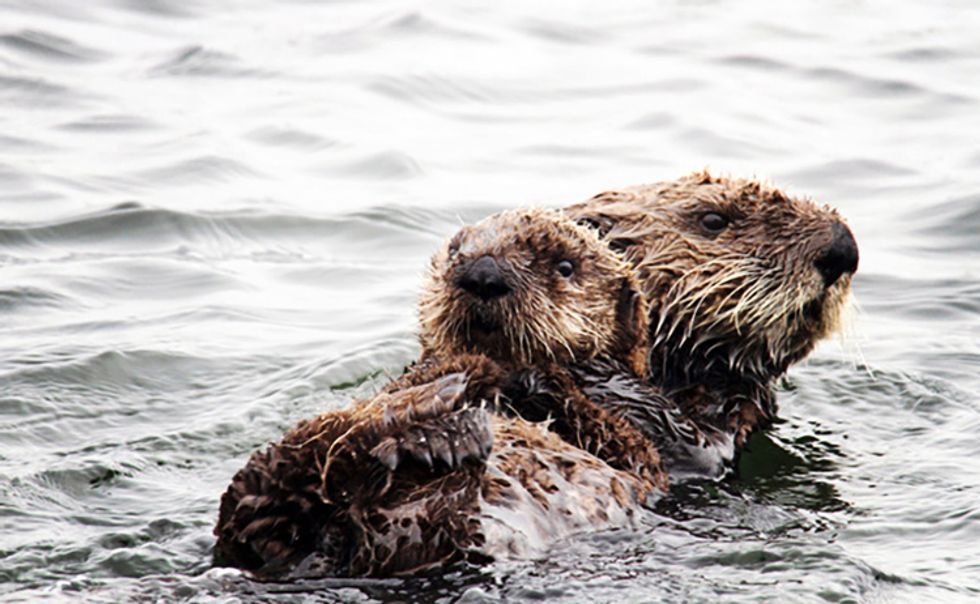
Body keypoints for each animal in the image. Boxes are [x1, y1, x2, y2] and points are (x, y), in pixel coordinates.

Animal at [214, 208, 675, 578]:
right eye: (455, 250)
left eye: (565, 266)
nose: (484, 274)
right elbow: (415, 373)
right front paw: (465, 367)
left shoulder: (643, 433)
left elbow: (625, 439)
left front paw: (527, 371)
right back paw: (440, 416)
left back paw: (440, 428)